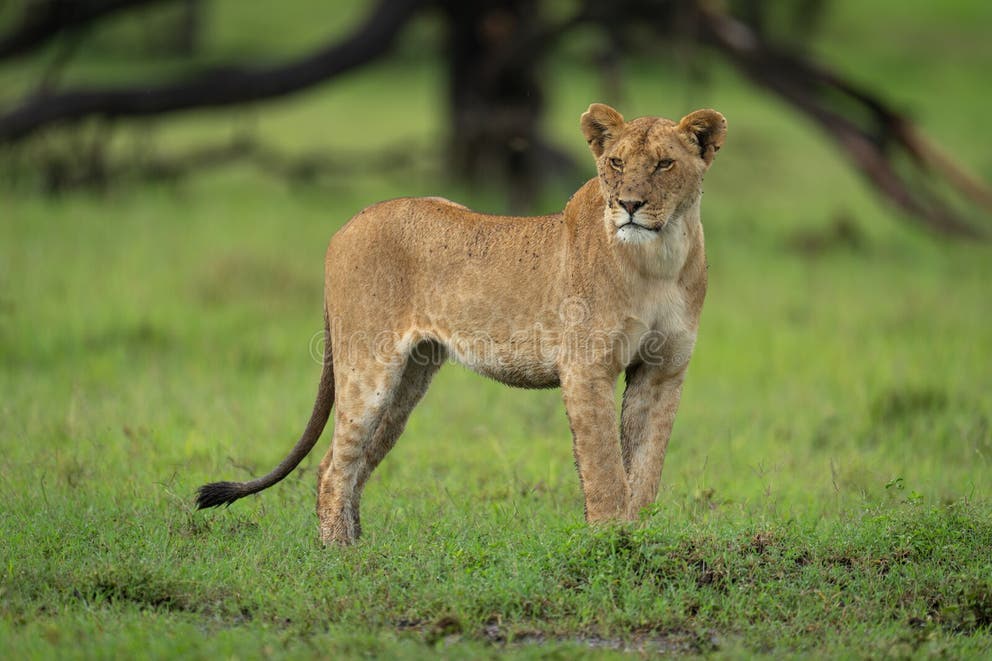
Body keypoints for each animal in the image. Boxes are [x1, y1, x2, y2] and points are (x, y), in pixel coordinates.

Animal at [196, 103, 727, 546]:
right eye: (615, 163)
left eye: (664, 164)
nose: (629, 205)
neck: (660, 259)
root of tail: (349, 223)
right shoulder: (586, 368)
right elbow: (604, 470)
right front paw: (609, 542)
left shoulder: (662, 372)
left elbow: (645, 469)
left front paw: (638, 538)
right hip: (367, 367)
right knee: (332, 465)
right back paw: (339, 554)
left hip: (409, 379)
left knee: (354, 460)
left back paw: (362, 547)